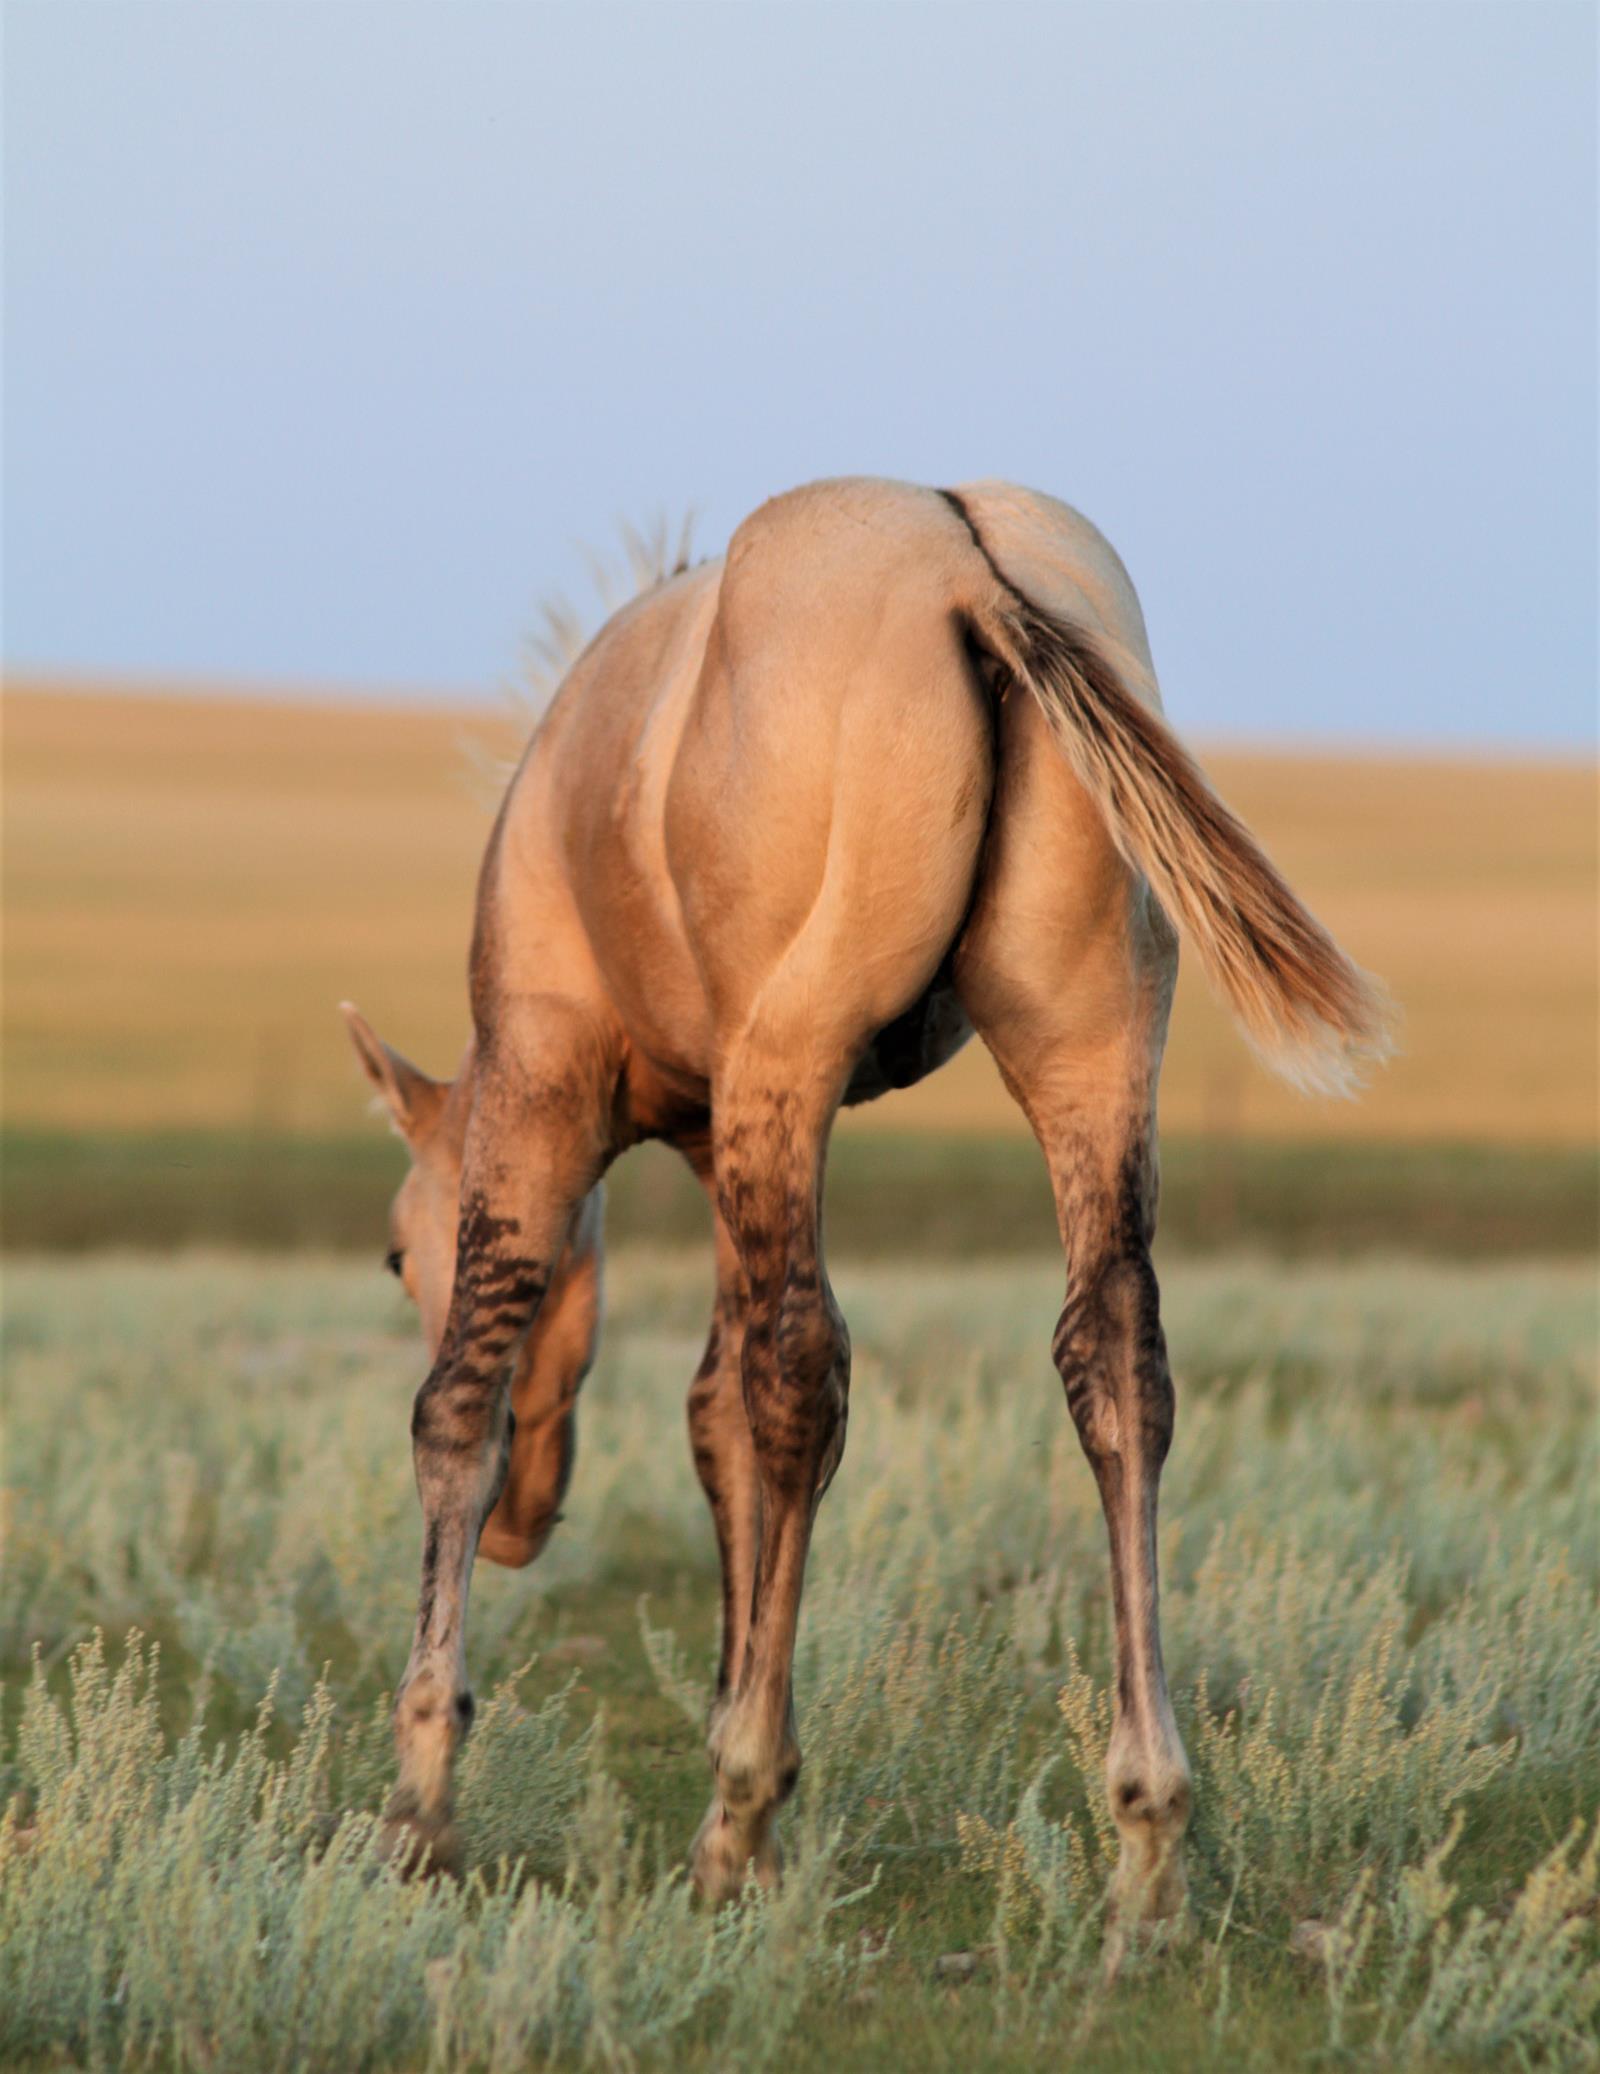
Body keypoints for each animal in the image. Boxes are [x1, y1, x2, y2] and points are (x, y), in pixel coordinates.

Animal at [341, 476, 1388, 1955]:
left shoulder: (546, 1088)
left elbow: (465, 1407)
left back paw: (740, 1811)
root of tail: (966, 559)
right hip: (1084, 1051)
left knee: (799, 1372)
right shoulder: (725, 1129)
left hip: (798, 1054)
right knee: (1113, 1362)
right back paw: (1145, 1848)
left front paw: (423, 1804)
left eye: (397, 1249)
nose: (525, 1526)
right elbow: (711, 1419)